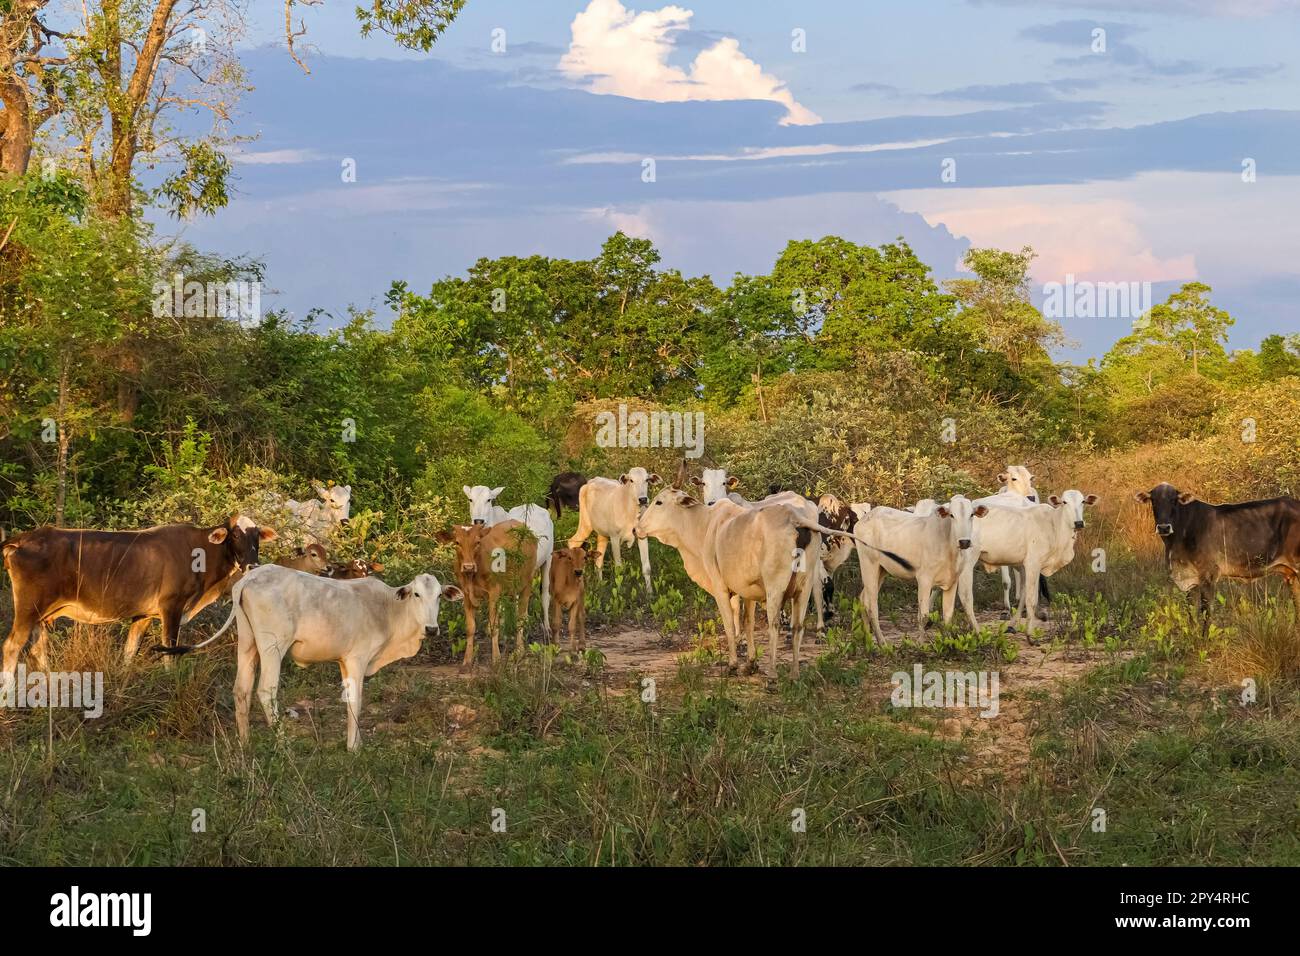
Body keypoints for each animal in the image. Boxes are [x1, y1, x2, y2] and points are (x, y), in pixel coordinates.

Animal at [2, 515, 275, 676]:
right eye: (235, 534)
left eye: (257, 536)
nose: (252, 564)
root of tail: (25, 538)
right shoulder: (171, 606)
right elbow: (169, 652)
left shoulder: (143, 615)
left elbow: (129, 652)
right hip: (27, 609)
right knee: (11, 647)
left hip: (40, 615)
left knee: (37, 651)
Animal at [437, 520, 539, 666]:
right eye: (457, 542)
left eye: (477, 542)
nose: (468, 566)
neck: (472, 575)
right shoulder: (466, 595)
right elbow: (470, 628)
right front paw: (467, 660)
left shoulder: (494, 593)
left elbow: (493, 626)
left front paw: (496, 658)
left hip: (527, 583)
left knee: (521, 617)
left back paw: (519, 650)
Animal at [463, 485, 554, 637]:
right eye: (470, 499)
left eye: (489, 500)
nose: (478, 521)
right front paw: (493, 627)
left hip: (548, 558)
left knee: (545, 593)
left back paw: (546, 627)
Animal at [852, 495, 988, 643]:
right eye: (952, 515)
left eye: (972, 514)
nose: (964, 542)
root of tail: (864, 519)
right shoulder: (924, 579)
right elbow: (923, 615)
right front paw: (920, 643)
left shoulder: (952, 582)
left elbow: (948, 615)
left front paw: (946, 641)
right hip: (869, 564)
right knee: (872, 605)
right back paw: (882, 643)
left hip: (881, 570)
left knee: (863, 599)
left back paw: (868, 640)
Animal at [1136, 483, 1300, 636]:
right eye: (1154, 500)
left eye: (1174, 500)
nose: (1163, 527)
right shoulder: (1191, 578)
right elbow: (1191, 611)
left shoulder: (1208, 574)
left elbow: (1206, 610)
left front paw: (1204, 639)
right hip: (1291, 575)